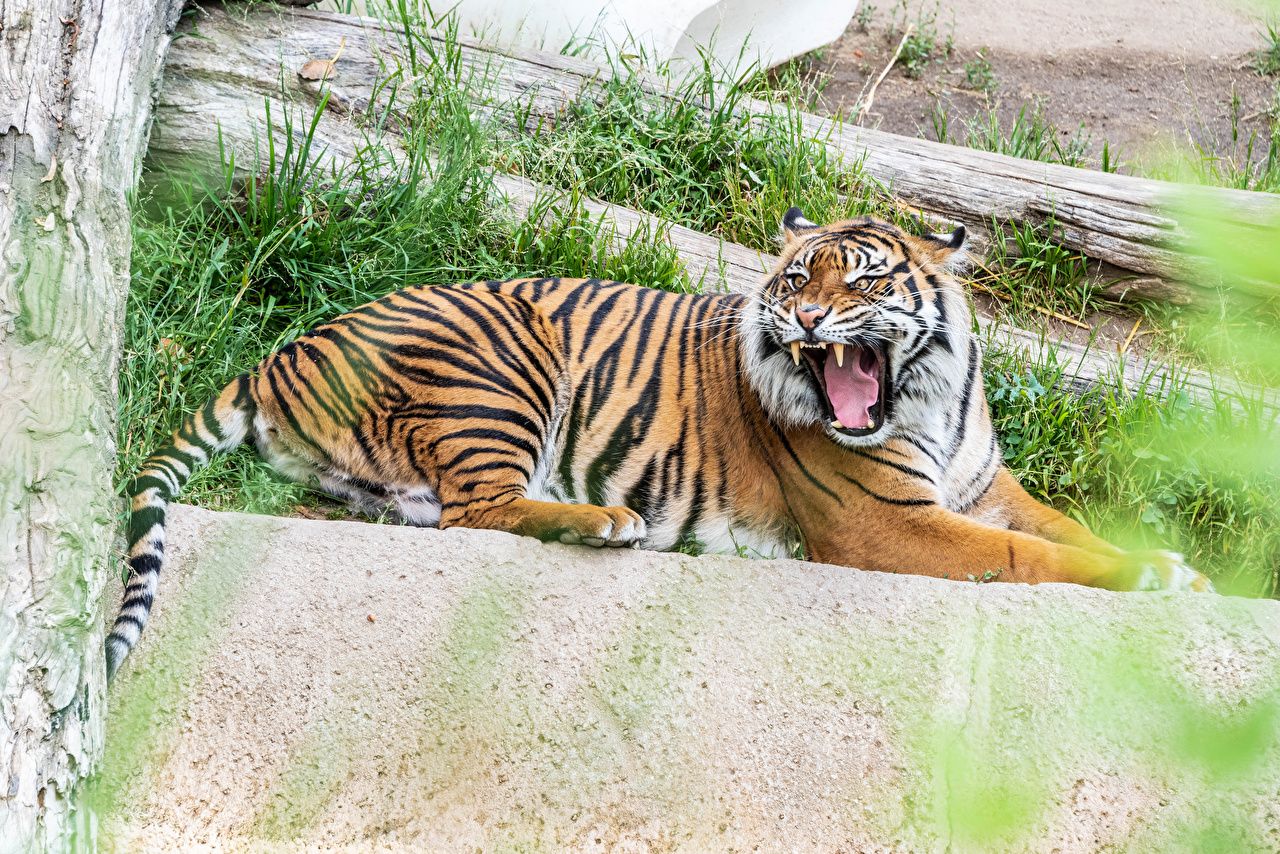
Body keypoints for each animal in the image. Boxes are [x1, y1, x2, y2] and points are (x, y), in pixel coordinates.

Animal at [105, 209, 1212, 678]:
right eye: (795, 278)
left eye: (859, 279)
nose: (805, 321)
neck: (927, 400)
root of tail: (287, 351)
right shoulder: (890, 524)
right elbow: (1030, 557)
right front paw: (1157, 577)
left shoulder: (985, 485)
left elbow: (1066, 527)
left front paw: (1179, 567)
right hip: (504, 363)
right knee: (476, 508)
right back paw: (605, 520)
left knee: (419, 507)